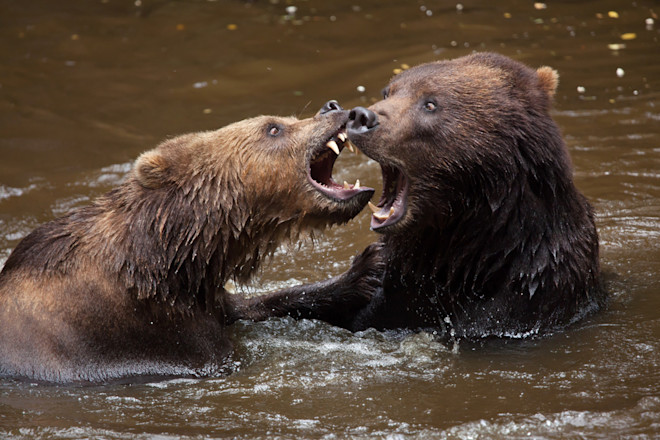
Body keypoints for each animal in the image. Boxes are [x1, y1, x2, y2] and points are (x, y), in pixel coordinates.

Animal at [0, 100, 381, 383]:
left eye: (285, 119)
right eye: (273, 127)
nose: (332, 106)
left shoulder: (205, 297)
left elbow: (256, 304)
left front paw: (366, 271)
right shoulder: (150, 331)